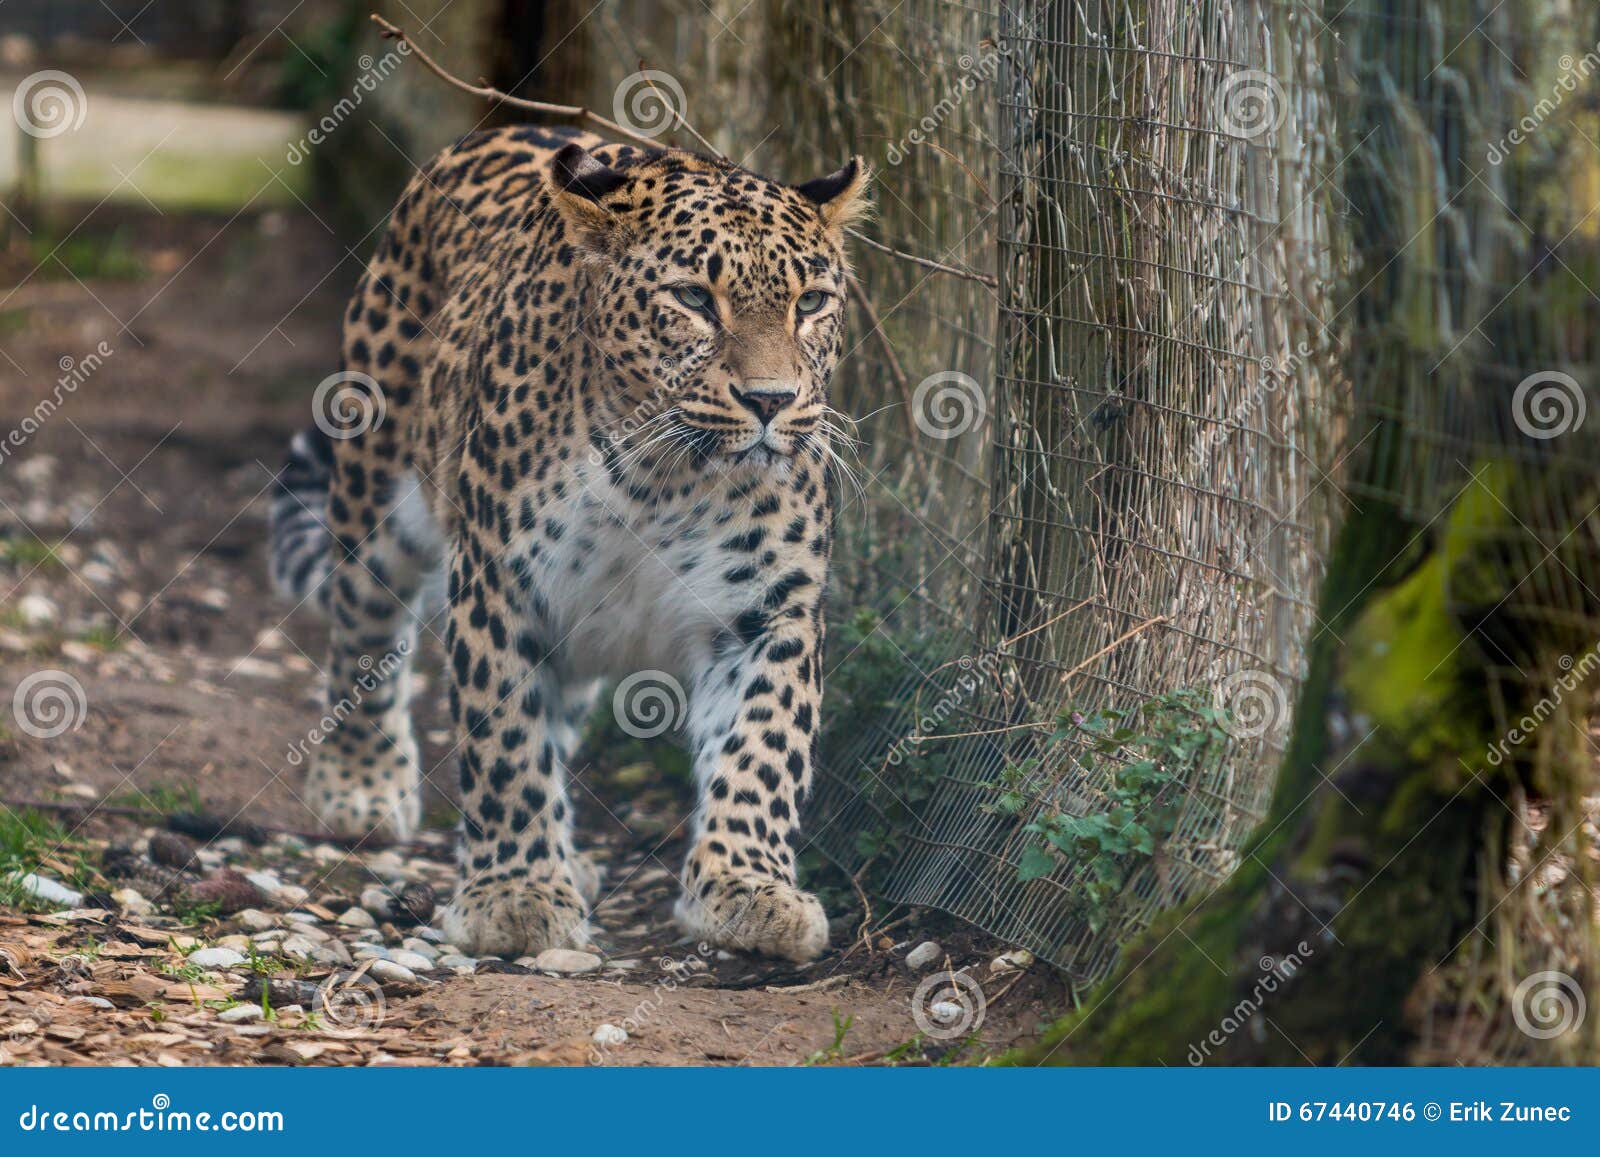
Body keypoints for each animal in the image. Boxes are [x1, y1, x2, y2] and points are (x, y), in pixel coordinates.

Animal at [268, 124, 869, 964]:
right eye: (693, 299)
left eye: (810, 303)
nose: (772, 402)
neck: (665, 475)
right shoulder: (499, 586)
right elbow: (506, 744)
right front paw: (515, 893)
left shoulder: (768, 610)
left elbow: (762, 748)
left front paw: (749, 886)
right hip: (375, 485)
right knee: (364, 632)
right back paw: (360, 783)